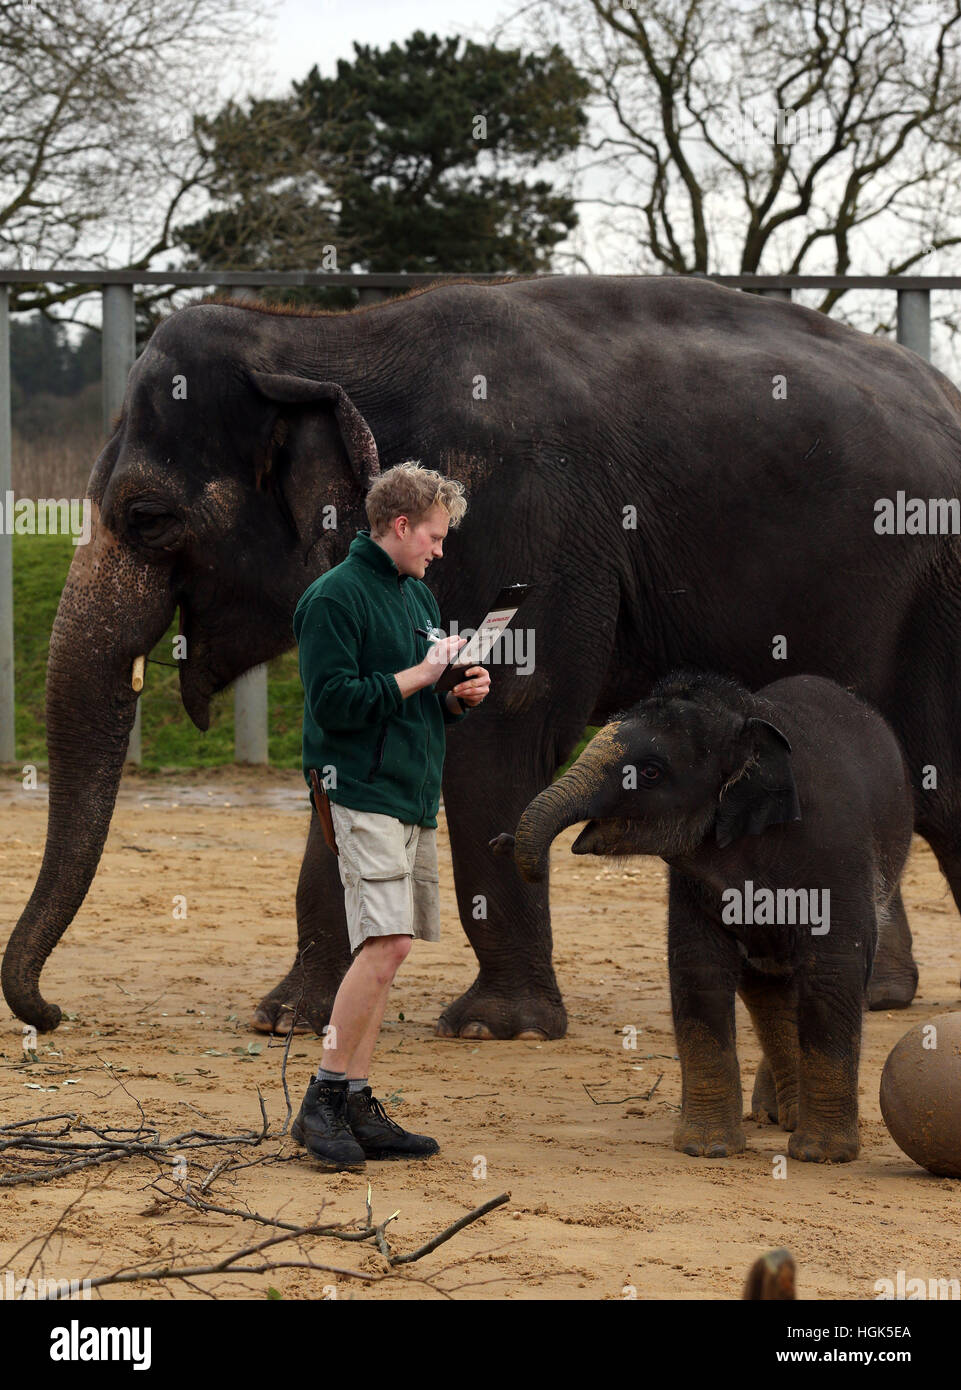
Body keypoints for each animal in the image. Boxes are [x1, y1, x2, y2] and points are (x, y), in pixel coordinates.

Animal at [4, 273, 961, 1038]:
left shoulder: (524, 519)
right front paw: (284, 1019)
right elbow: (346, 748)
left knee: (933, 781)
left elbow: (500, 728)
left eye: (146, 517)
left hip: (936, 582)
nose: (54, 1013)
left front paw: (494, 1027)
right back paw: (873, 993)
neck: (318, 335)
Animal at [492, 670, 915, 1161]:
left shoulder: (838, 854)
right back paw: (777, 1116)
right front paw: (706, 1149)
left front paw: (820, 1156)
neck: (744, 718)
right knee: (766, 986)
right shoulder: (693, 879)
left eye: (650, 772)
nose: (502, 842)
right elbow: (698, 967)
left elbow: (833, 971)